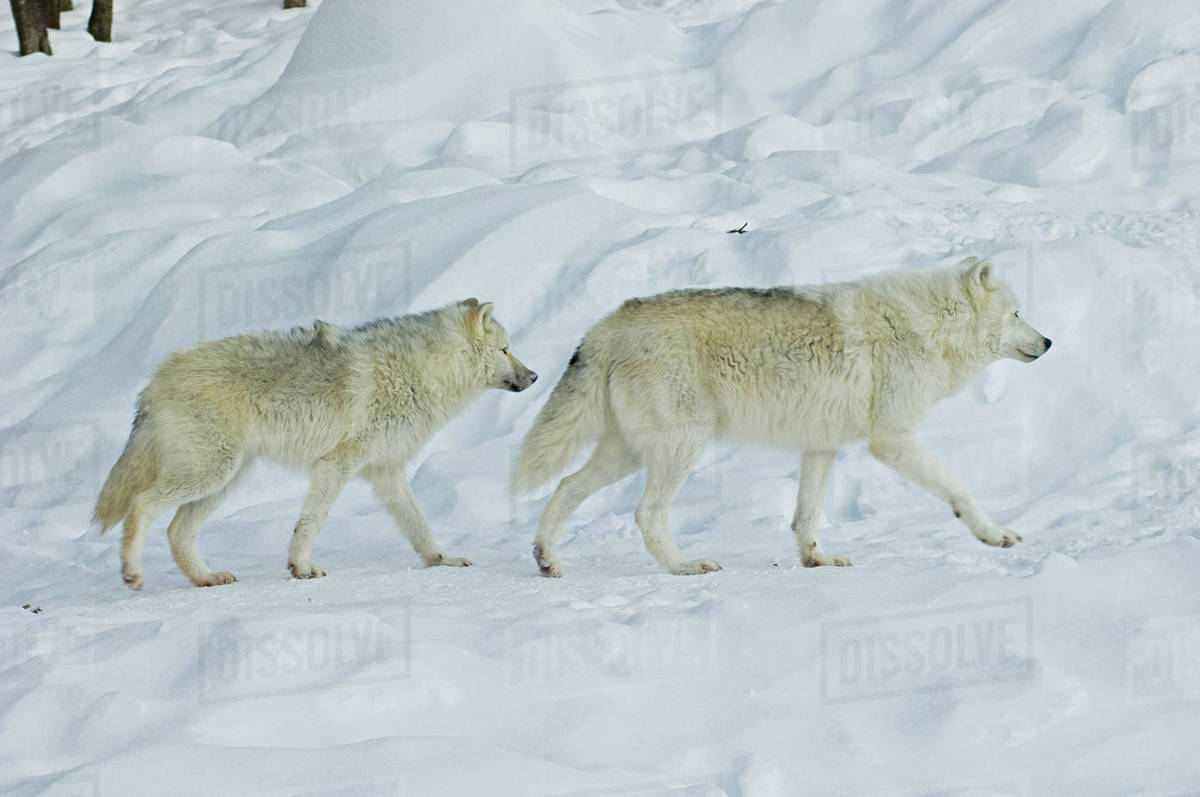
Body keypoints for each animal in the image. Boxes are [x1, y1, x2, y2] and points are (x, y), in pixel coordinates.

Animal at [93, 299, 537, 590]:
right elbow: (314, 521)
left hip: (224, 480)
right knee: (141, 507)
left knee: (177, 531)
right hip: (211, 473)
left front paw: (443, 561)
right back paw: (132, 573)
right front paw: (301, 568)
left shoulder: (386, 473)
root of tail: (154, 381)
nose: (534, 376)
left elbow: (420, 526)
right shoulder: (336, 463)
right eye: (505, 349)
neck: (421, 372)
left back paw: (206, 578)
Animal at [512, 258, 1051, 577]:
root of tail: (605, 326)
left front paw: (817, 559)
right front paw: (995, 535)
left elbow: (804, 516)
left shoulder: (822, 445)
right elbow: (959, 488)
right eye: (1017, 314)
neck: (928, 327)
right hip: (679, 448)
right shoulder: (892, 439)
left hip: (627, 453)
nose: (1048, 342)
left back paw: (546, 559)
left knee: (566, 487)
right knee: (646, 513)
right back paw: (685, 566)